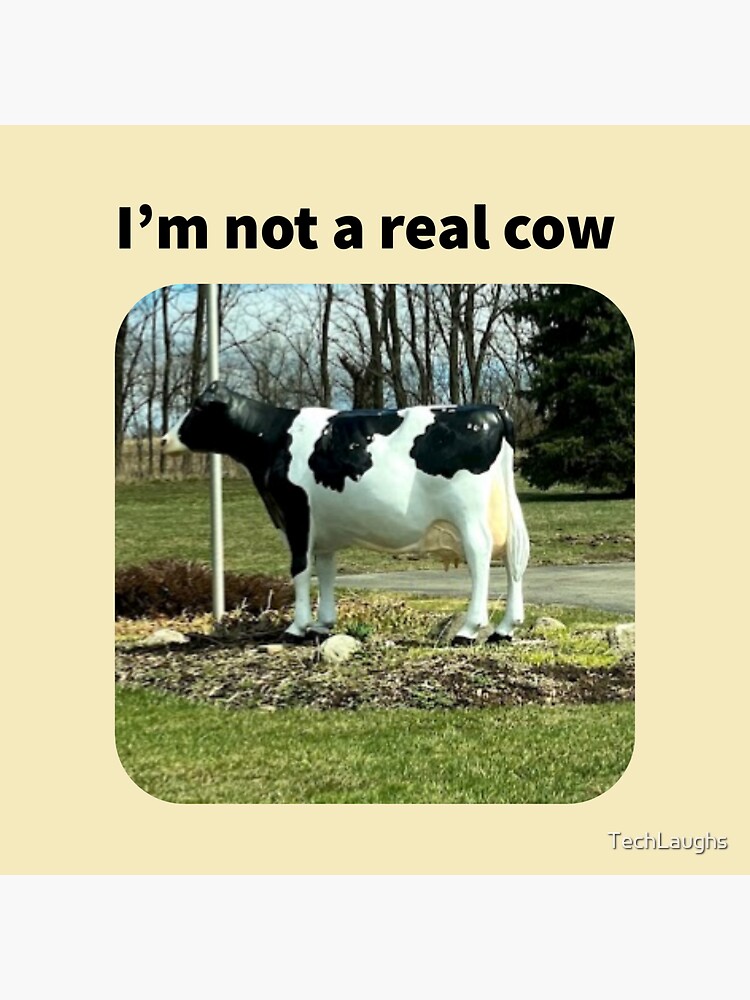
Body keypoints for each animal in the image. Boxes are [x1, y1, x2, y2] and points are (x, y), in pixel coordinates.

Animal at [161, 381, 530, 645]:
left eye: (198, 407)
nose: (164, 439)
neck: (277, 436)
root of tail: (493, 410)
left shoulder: (295, 513)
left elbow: (299, 569)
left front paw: (296, 628)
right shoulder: (323, 529)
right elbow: (325, 570)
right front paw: (322, 625)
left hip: (469, 514)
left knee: (481, 557)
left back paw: (469, 629)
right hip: (502, 513)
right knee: (513, 562)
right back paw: (504, 630)